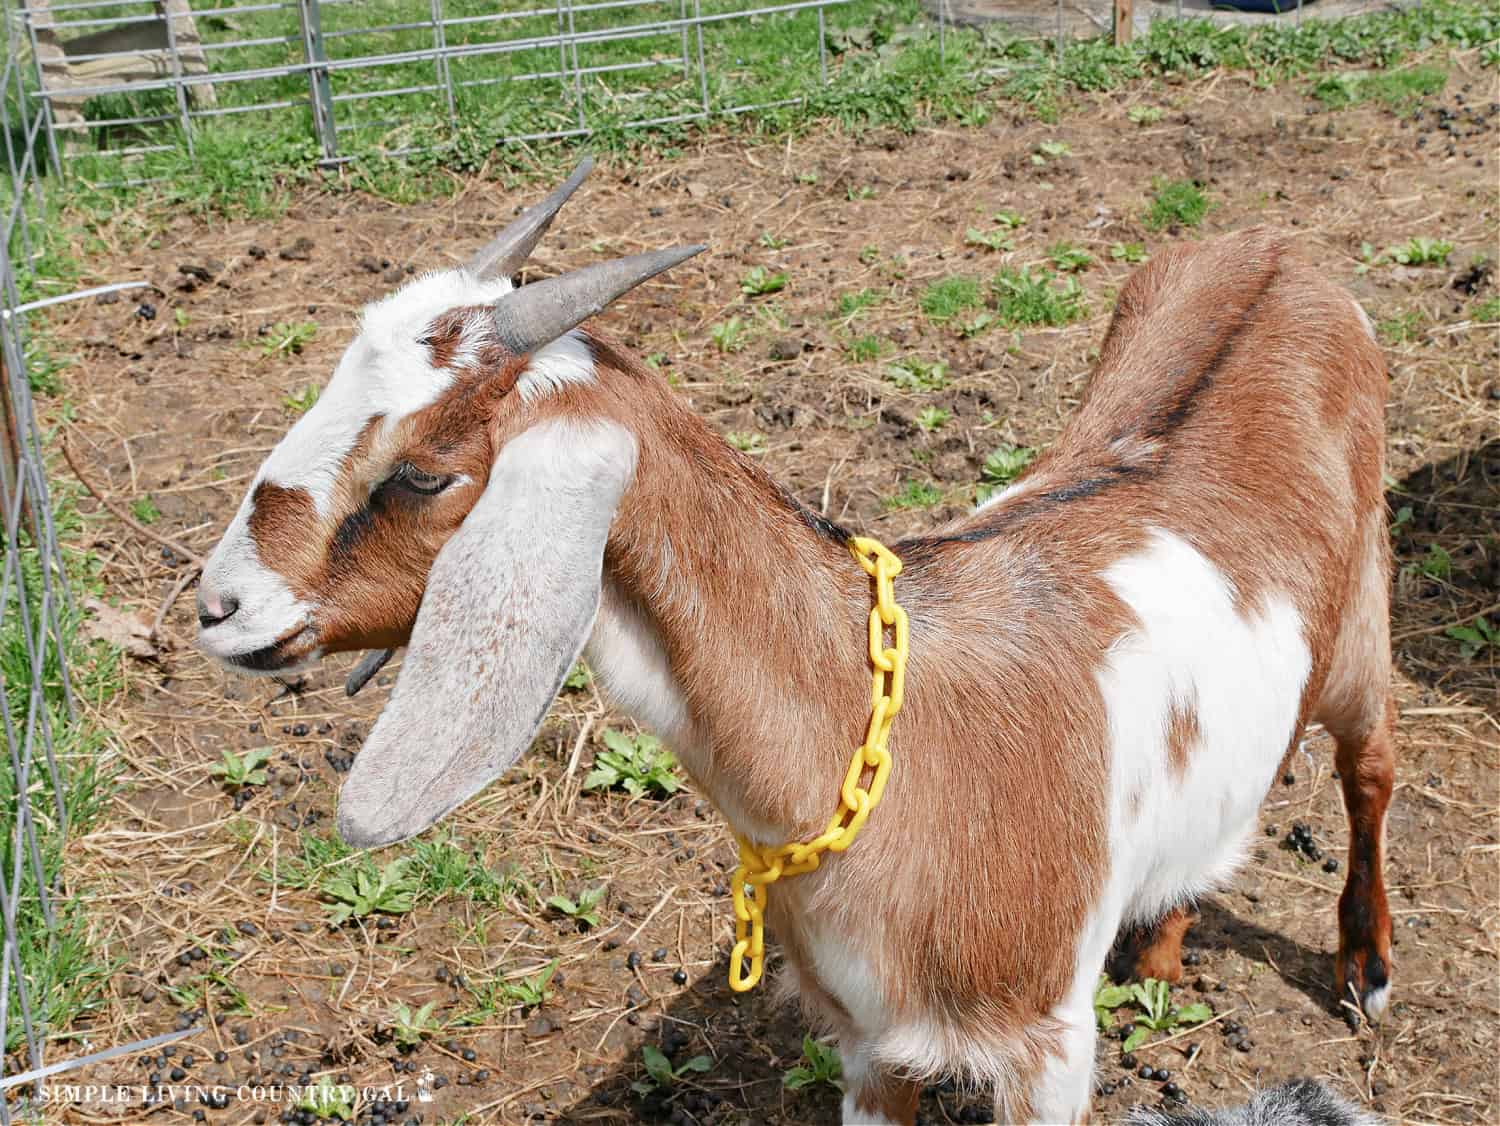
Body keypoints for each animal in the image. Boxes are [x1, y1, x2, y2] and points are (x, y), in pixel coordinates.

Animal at [197, 160, 1395, 1124]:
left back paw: (1366, 965)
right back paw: (1161, 943)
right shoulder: (870, 1044)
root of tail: (1273, 245)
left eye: (422, 473)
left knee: (1369, 768)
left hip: (1364, 625)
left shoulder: (1046, 1046)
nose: (217, 608)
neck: (891, 746)